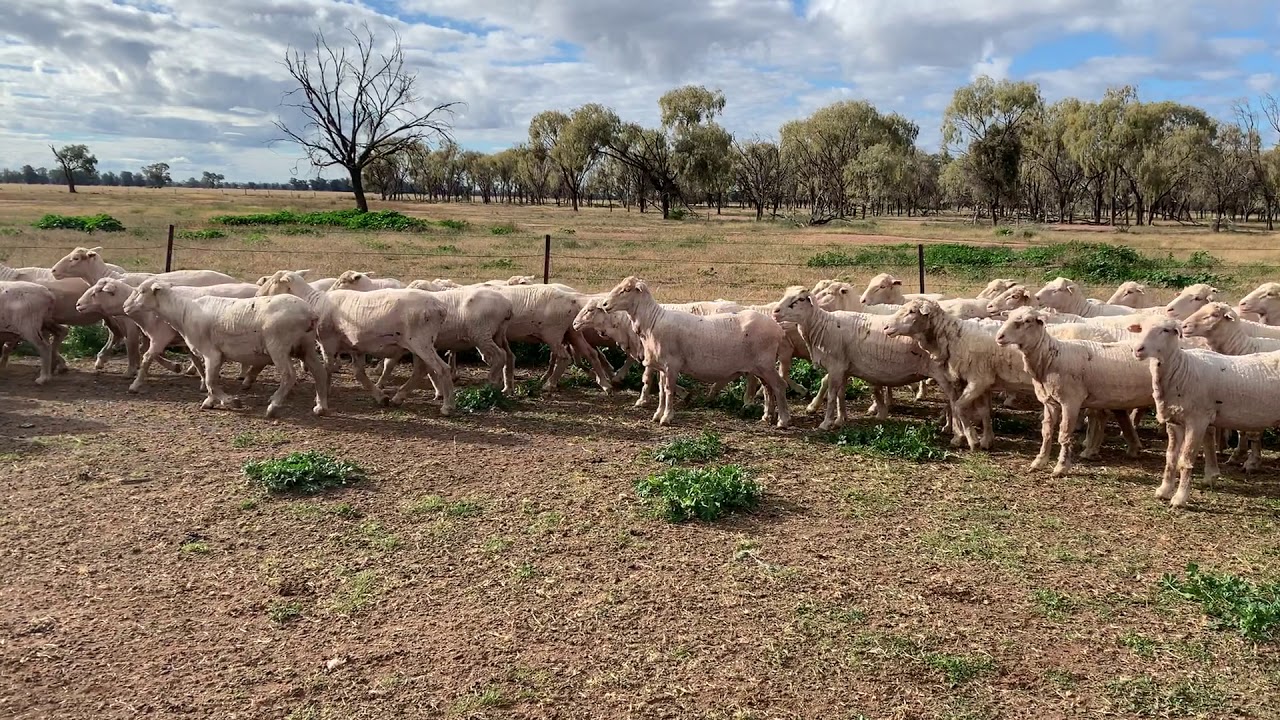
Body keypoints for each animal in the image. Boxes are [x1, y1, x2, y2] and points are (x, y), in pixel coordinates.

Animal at [124, 278, 328, 418]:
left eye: (141, 291)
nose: (125, 307)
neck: (182, 312)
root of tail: (310, 313)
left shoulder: (211, 353)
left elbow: (210, 381)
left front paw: (231, 401)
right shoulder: (215, 355)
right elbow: (209, 379)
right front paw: (210, 401)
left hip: (278, 346)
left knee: (289, 376)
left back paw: (273, 406)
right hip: (306, 346)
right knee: (319, 372)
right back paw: (321, 406)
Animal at [256, 271, 455, 413]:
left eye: (274, 282)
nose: (258, 294)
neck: (314, 301)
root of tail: (440, 308)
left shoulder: (328, 343)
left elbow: (327, 370)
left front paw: (322, 397)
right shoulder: (356, 347)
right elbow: (359, 374)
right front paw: (380, 397)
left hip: (421, 342)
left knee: (442, 369)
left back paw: (447, 407)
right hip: (420, 344)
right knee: (421, 370)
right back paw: (399, 397)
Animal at [600, 276, 791, 427]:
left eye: (626, 290)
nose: (604, 305)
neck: (653, 321)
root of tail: (778, 329)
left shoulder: (672, 365)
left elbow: (668, 390)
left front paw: (667, 417)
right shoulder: (662, 366)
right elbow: (661, 390)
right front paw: (657, 414)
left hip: (765, 364)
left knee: (779, 386)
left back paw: (783, 420)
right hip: (759, 366)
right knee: (768, 388)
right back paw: (767, 416)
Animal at [994, 308, 1149, 475]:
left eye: (1028, 320)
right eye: (1008, 316)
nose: (999, 336)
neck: (1051, 358)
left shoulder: (1070, 402)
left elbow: (1064, 434)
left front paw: (1061, 466)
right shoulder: (1050, 402)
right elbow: (1046, 432)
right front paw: (1039, 461)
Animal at [1129, 316, 1280, 508]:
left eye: (1165, 330)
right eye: (1140, 328)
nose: (1138, 349)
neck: (1181, 370)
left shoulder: (1198, 420)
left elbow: (1185, 461)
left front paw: (1179, 498)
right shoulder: (1175, 420)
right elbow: (1171, 458)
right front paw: (1164, 491)